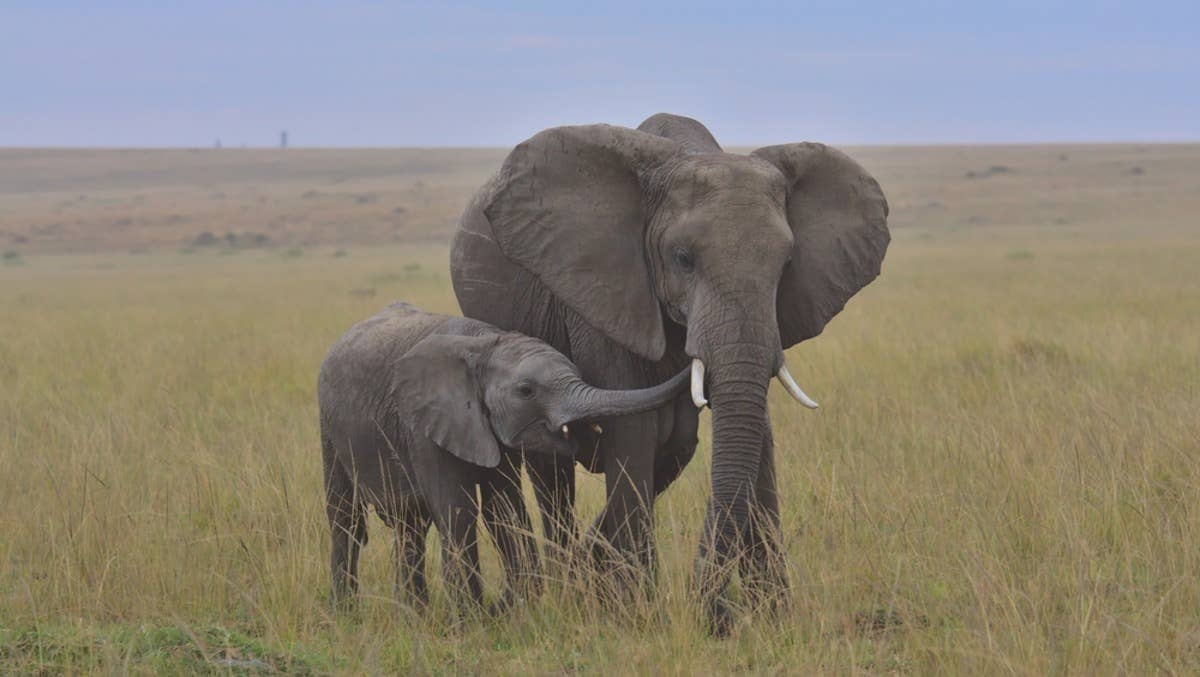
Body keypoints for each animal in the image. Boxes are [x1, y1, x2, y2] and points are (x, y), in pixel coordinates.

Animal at [318, 301, 690, 615]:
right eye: (526, 391)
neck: (485, 345)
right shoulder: (424, 427)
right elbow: (458, 512)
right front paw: (471, 622)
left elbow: (504, 510)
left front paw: (505, 612)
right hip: (328, 427)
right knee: (346, 519)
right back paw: (346, 614)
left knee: (411, 528)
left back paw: (414, 617)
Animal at [450, 113, 889, 633]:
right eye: (683, 259)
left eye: (785, 265)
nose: (714, 612)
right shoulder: (605, 290)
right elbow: (635, 432)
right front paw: (635, 612)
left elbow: (753, 431)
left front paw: (771, 617)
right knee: (550, 470)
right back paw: (565, 590)